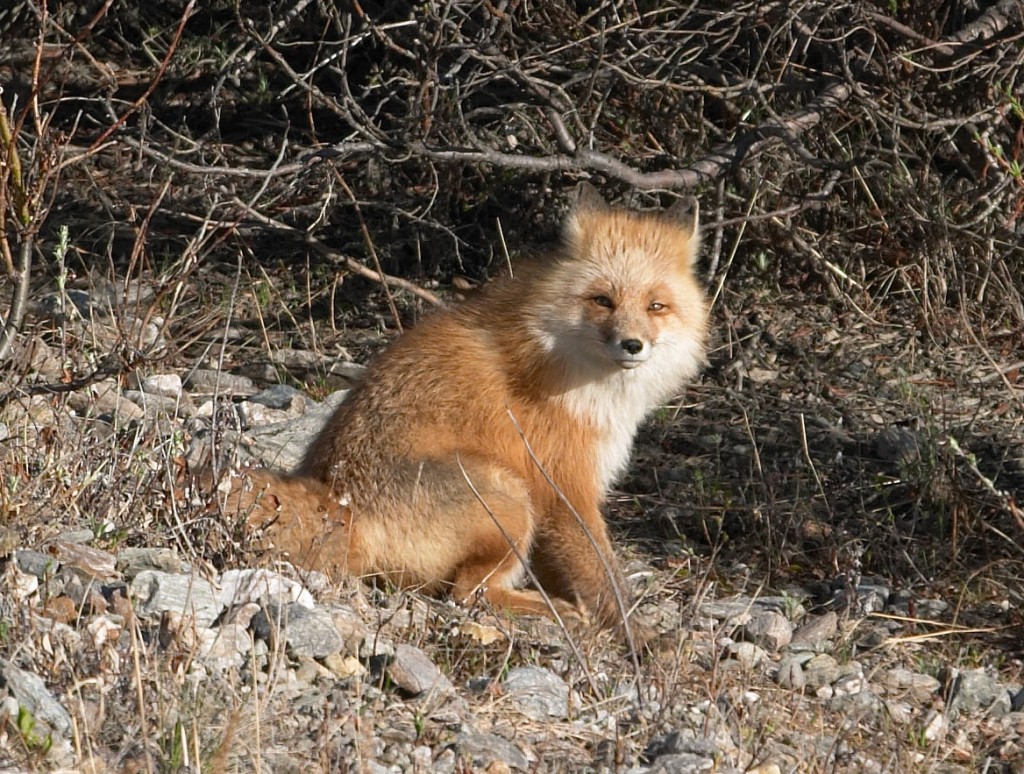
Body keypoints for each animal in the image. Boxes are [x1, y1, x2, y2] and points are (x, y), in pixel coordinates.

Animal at [217, 182, 709, 640]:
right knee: (468, 594)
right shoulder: (563, 488)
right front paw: (643, 641)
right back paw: (551, 610)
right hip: (509, 497)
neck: (562, 361)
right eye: (602, 300)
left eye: (656, 306)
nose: (632, 344)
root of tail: (339, 501)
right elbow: (606, 580)